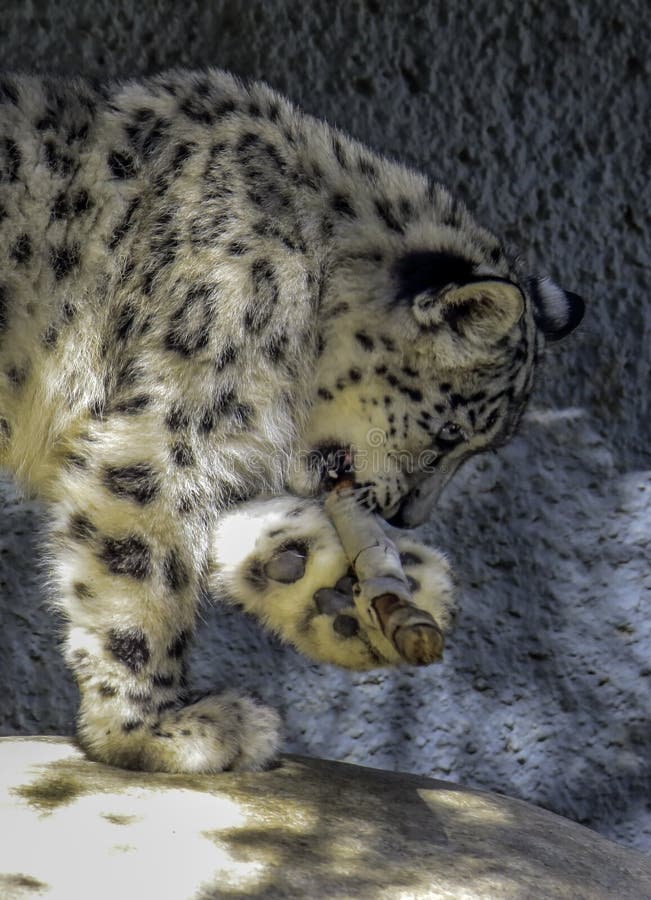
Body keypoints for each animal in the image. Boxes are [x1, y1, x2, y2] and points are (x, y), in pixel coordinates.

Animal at [0, 69, 584, 773]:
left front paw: (333, 586)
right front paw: (157, 728)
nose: (408, 517)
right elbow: (141, 564)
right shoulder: (168, 425)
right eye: (449, 434)